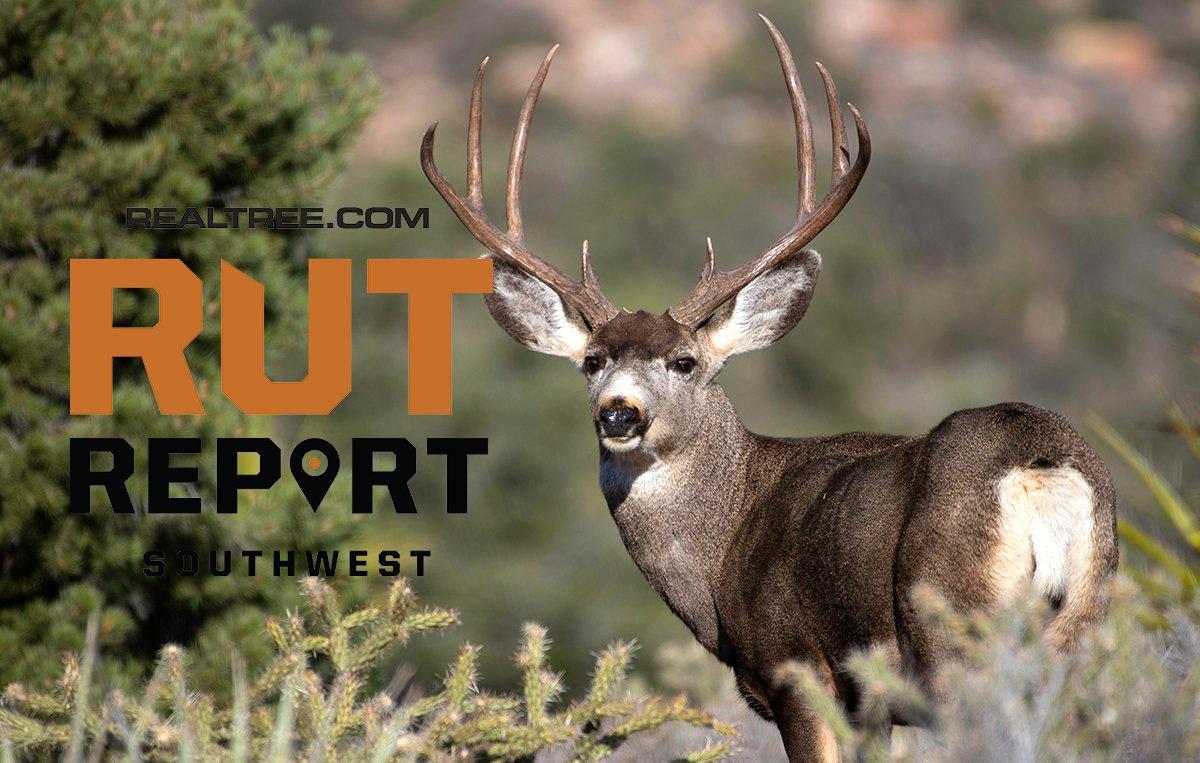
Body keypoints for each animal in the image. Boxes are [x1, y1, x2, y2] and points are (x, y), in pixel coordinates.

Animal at [418, 15, 1118, 761]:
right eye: (593, 361)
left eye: (684, 361)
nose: (619, 412)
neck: (725, 537)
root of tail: (1040, 465)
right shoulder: (872, 708)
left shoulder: (796, 669)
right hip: (1080, 628)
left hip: (951, 632)